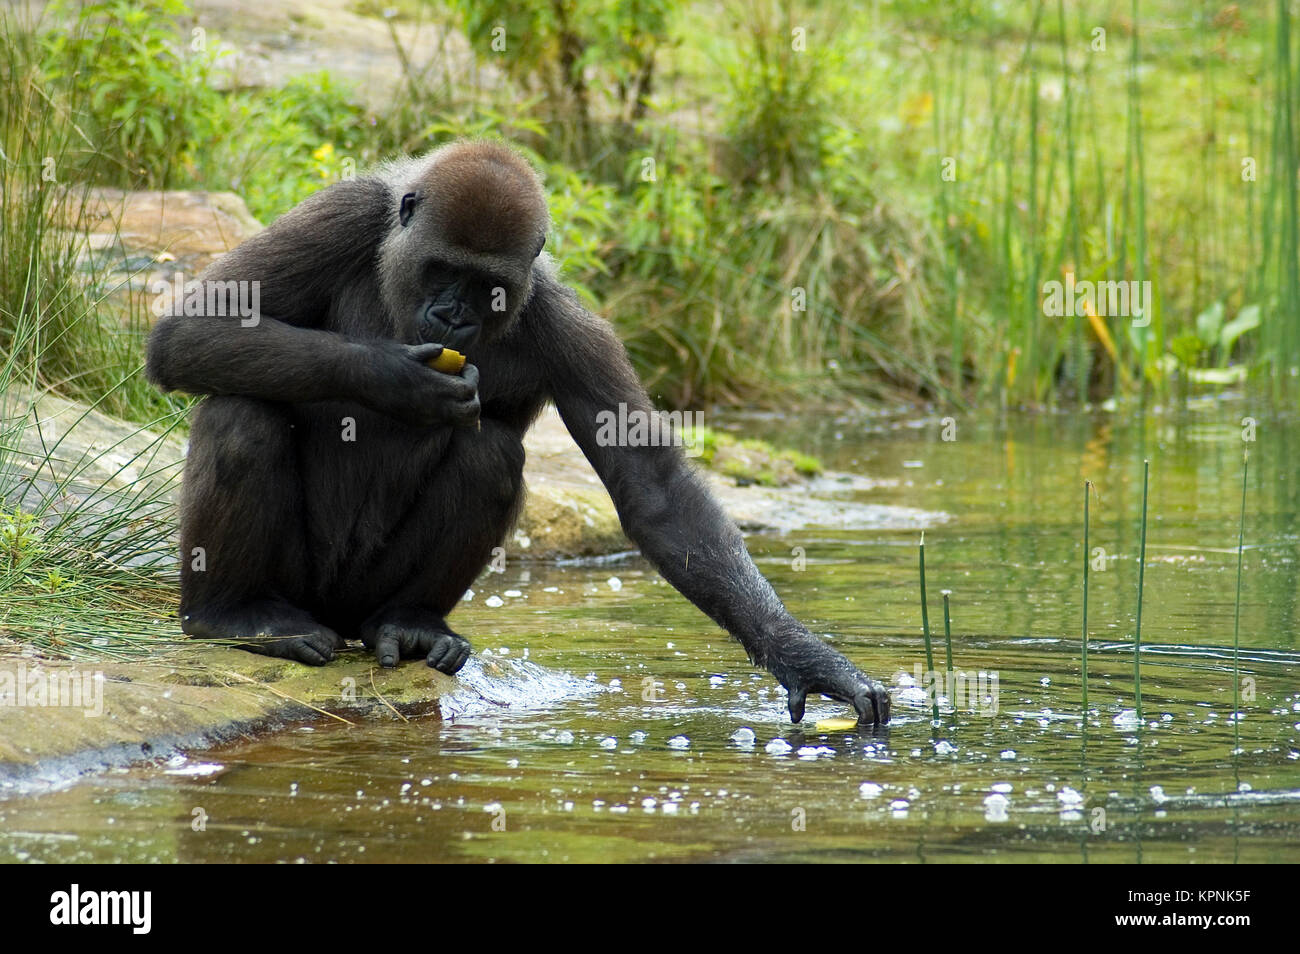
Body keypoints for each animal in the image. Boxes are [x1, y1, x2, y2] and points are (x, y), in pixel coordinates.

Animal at [145, 140, 891, 725]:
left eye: (487, 287)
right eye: (443, 270)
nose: (452, 317)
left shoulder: (570, 326)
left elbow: (655, 493)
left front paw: (807, 657)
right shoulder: (345, 212)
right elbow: (195, 327)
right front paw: (396, 378)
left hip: (362, 600)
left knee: (491, 453)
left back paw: (412, 624)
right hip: (303, 591)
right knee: (242, 413)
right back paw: (233, 614)